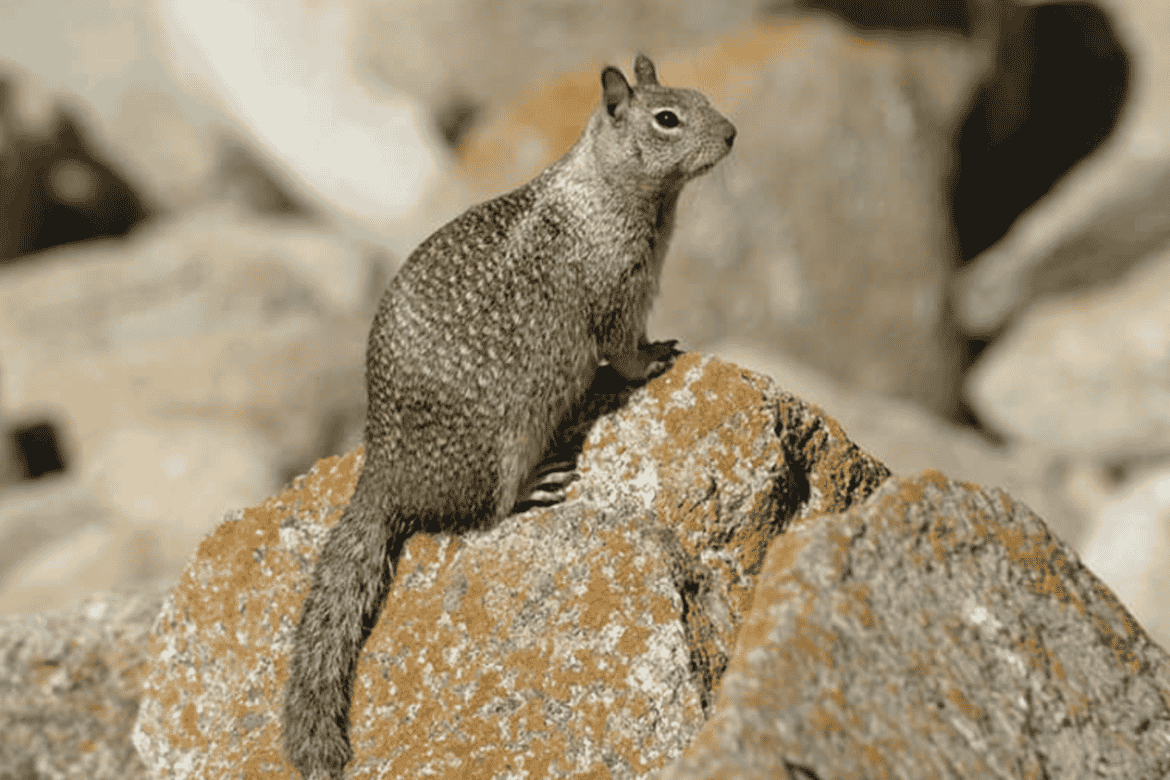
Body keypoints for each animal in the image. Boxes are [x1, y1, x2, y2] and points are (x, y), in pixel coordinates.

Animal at [282, 53, 735, 780]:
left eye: (698, 95)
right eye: (667, 118)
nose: (731, 134)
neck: (608, 192)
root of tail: (382, 474)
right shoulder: (619, 294)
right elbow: (623, 350)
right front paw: (653, 361)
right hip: (507, 441)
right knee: (487, 513)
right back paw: (535, 486)